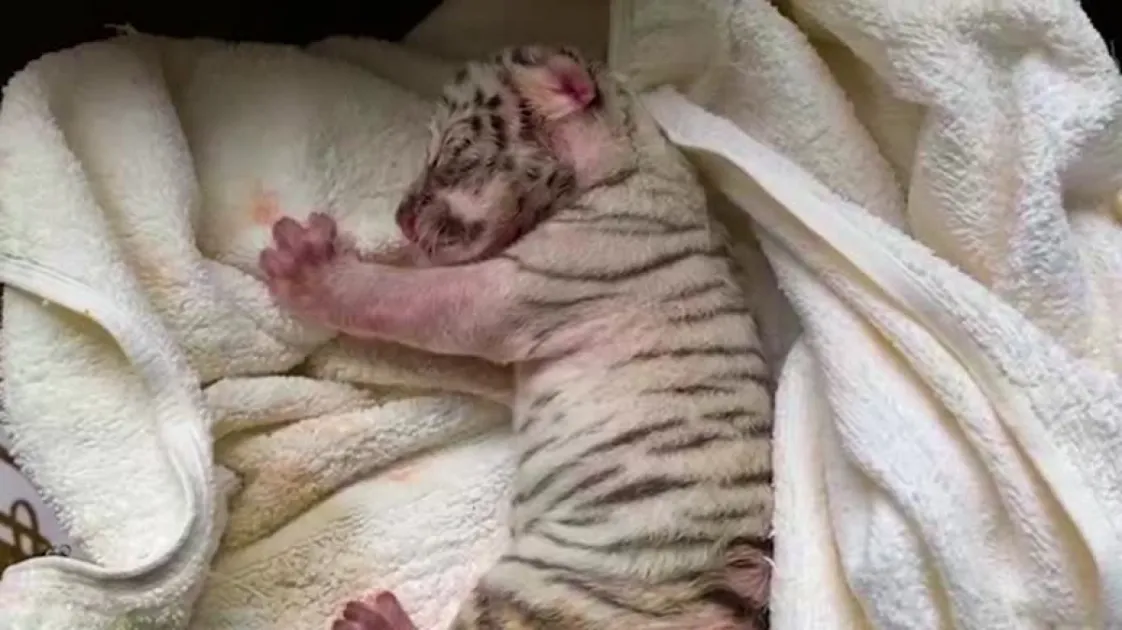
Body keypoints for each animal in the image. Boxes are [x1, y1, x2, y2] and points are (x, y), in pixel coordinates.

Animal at [259, 44, 775, 630]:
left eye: (454, 152)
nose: (399, 219)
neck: (629, 155)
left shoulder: (511, 289)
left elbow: (402, 296)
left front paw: (309, 269)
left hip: (543, 587)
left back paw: (376, 621)